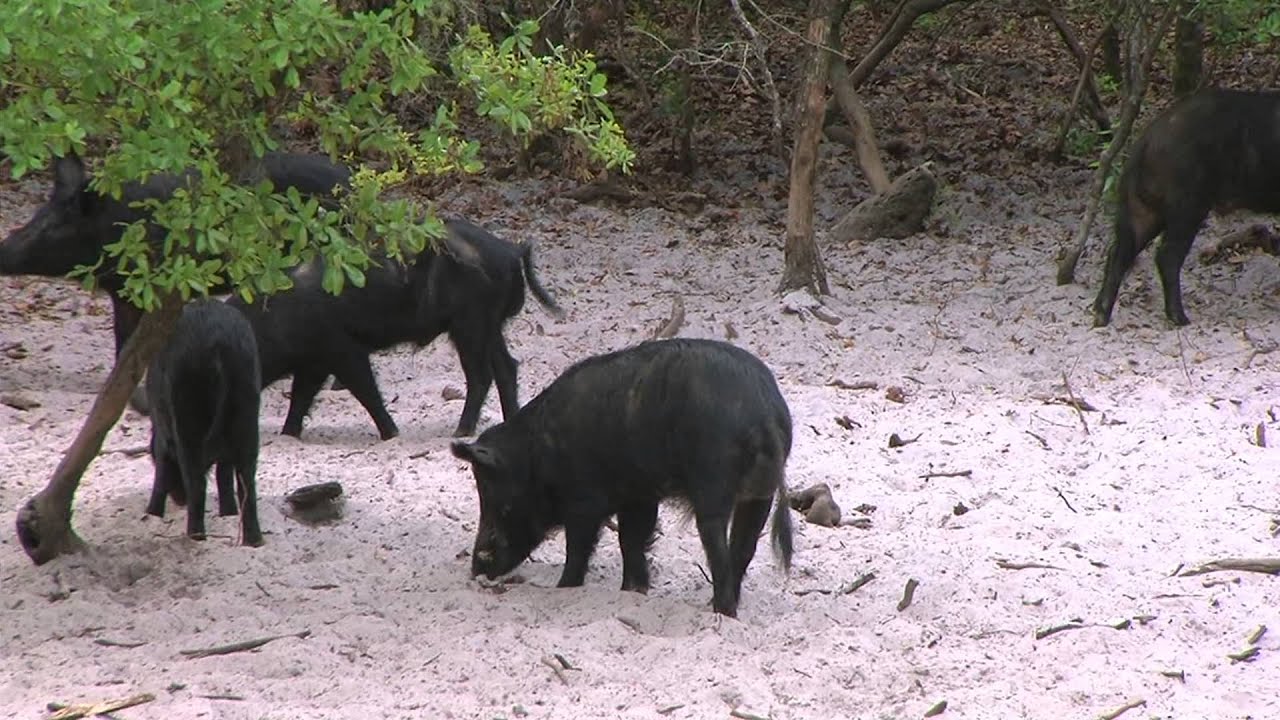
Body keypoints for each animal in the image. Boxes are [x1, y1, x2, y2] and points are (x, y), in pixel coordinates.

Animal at [145, 298, 263, 546]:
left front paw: (152, 513)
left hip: (188, 415)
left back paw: (195, 536)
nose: (179, 499)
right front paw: (228, 513)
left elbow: (162, 470)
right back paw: (253, 541)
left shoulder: (164, 438)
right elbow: (224, 473)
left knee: (197, 482)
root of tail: (218, 345)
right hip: (248, 409)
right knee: (247, 479)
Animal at [230, 217, 563, 440]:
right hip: (489, 325)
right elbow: (301, 396)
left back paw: (459, 432)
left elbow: (365, 389)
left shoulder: (342, 348)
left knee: (482, 375)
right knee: (507, 367)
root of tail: (511, 250)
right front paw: (288, 435)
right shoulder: (314, 360)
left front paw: (391, 434)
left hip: (470, 323)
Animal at [450, 338, 794, 618]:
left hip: (713, 485)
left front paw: (564, 588)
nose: (476, 569)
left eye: (500, 501)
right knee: (744, 547)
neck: (537, 456)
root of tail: (763, 413)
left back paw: (721, 611)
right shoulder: (639, 496)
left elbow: (580, 546)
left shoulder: (584, 500)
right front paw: (633, 590)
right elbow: (631, 539)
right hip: (758, 495)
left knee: (718, 546)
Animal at [1092, 88, 1280, 327]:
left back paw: (1101, 315)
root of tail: (1147, 139)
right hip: (1188, 208)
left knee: (1119, 252)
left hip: (1143, 209)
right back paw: (1180, 318)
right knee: (1167, 257)